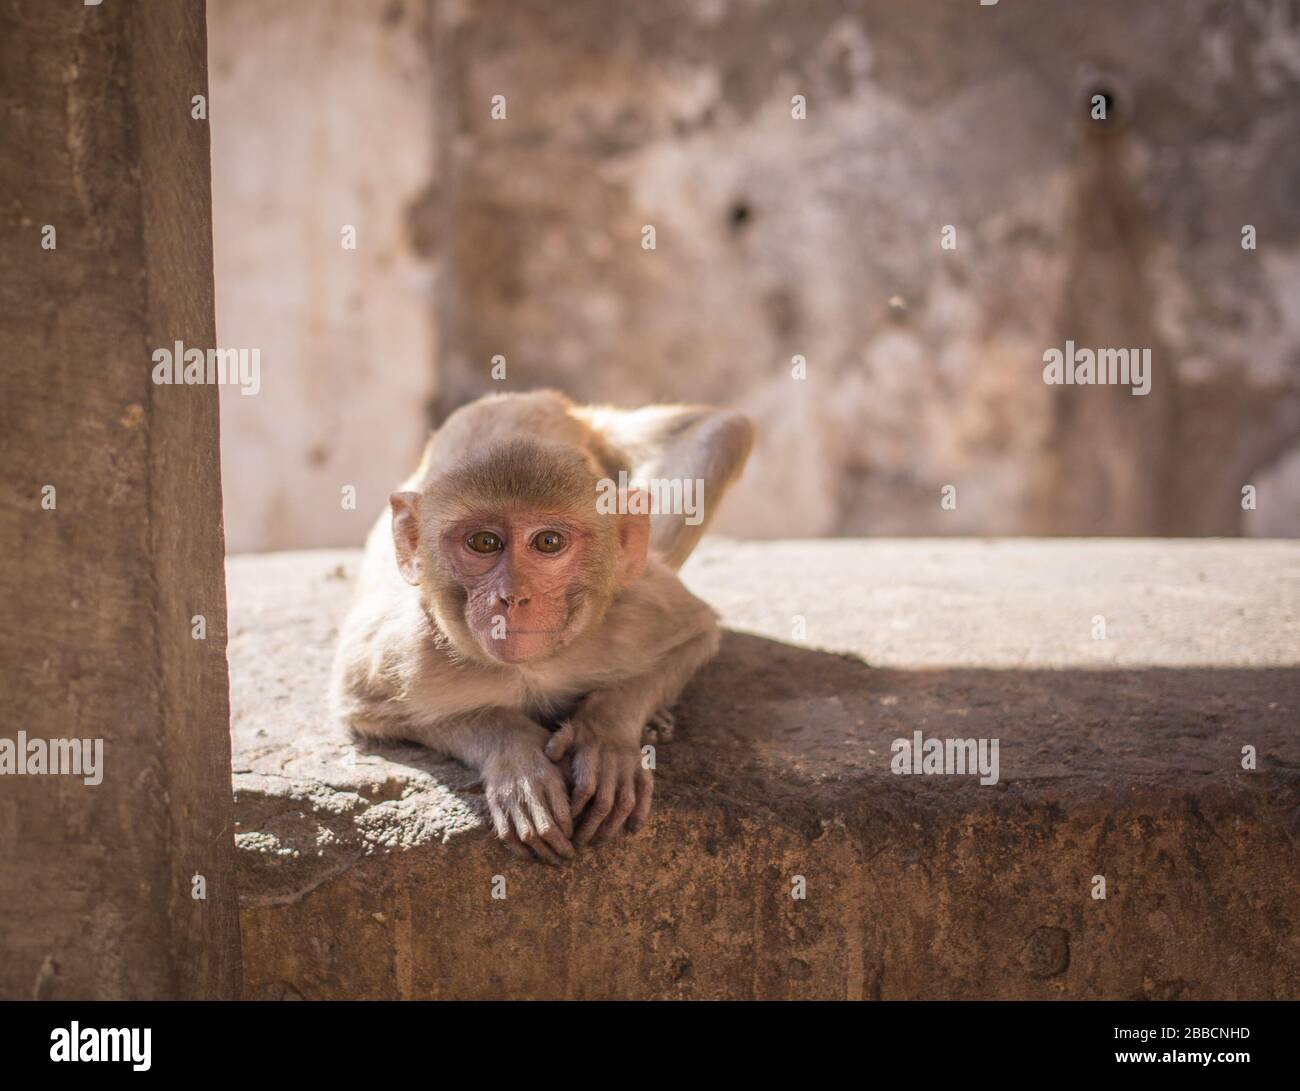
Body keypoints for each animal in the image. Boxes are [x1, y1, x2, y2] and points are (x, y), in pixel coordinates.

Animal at [329, 390, 753, 864]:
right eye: (484, 542)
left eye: (548, 542)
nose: (513, 597)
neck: (531, 670)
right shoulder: (402, 657)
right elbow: (369, 712)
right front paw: (517, 757)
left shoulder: (637, 611)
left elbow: (696, 634)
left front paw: (605, 735)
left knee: (723, 432)